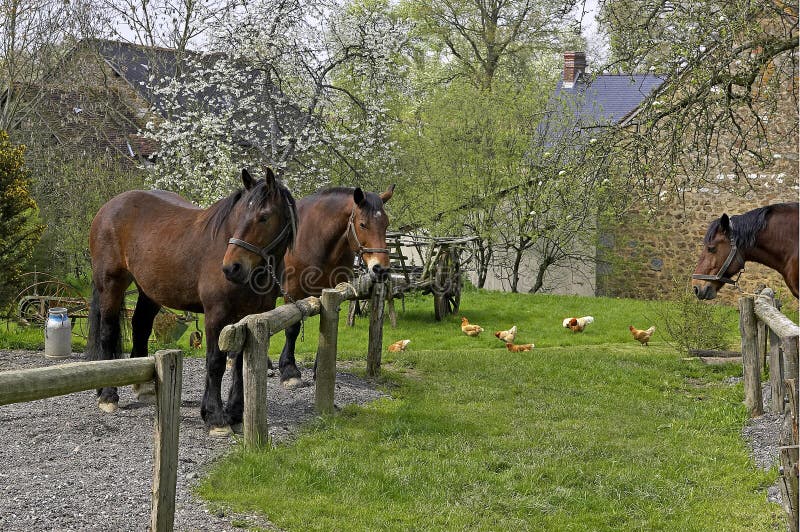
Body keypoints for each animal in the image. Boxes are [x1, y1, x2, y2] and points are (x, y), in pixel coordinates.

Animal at [87, 168, 297, 436]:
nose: (232, 267)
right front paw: (216, 417)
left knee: (141, 327)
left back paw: (144, 388)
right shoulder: (216, 315)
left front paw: (235, 414)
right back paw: (107, 396)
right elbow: (216, 362)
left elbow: (239, 363)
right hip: (110, 285)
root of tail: (108, 208)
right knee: (107, 332)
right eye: (239, 215)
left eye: (264, 217)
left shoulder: (248, 319)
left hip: (149, 292)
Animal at [276, 185, 395, 387]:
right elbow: (292, 329)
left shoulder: (331, 293)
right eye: (363, 224)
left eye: (386, 224)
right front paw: (289, 371)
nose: (381, 269)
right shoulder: (292, 291)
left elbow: (327, 326)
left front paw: (320, 370)